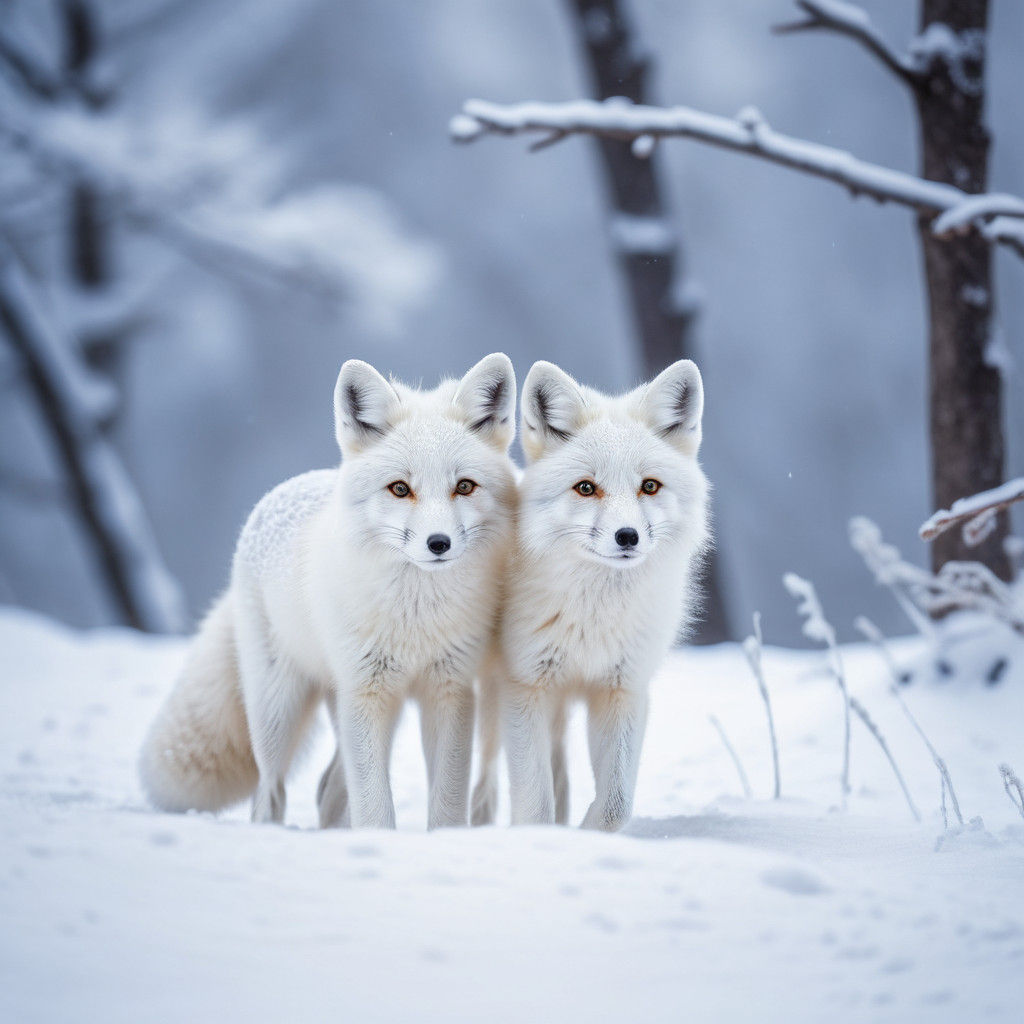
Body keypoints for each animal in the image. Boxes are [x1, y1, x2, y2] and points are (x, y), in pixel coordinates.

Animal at [139, 353, 518, 829]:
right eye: (400, 488)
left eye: (464, 486)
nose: (439, 543)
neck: (415, 618)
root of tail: (278, 492)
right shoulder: (364, 690)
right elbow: (373, 805)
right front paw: (379, 839)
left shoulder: (450, 689)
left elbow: (447, 800)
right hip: (278, 708)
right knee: (270, 791)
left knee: (327, 789)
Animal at [470, 359, 710, 832]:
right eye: (586, 488)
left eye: (649, 486)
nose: (627, 536)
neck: (595, 618)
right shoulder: (525, 686)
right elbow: (535, 804)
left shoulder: (623, 690)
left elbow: (616, 801)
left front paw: (587, 835)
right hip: (491, 702)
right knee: (486, 779)